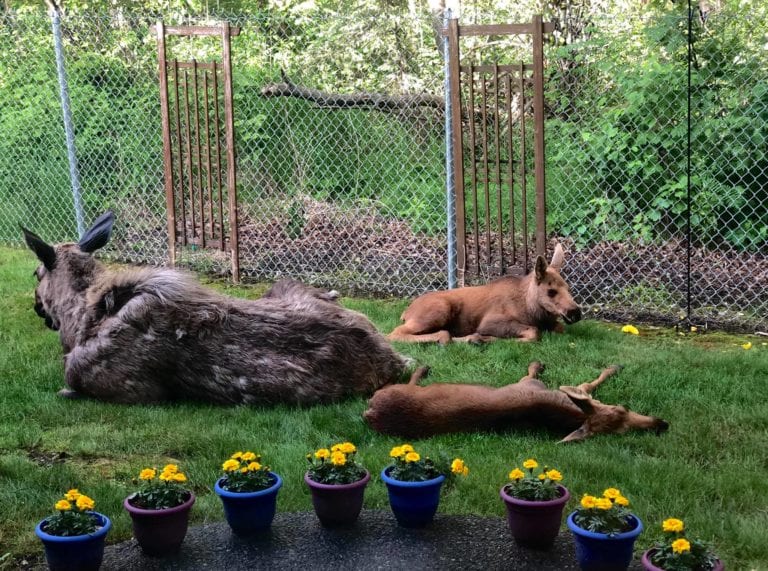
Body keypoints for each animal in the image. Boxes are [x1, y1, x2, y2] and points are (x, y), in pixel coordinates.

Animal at [363, 362, 669, 442]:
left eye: (622, 431)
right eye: (622, 408)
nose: (662, 423)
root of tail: (371, 412)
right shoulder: (530, 383)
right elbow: (589, 384)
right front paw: (614, 367)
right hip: (397, 390)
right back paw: (423, 368)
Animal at [388, 244, 582, 344]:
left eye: (568, 288)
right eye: (551, 291)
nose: (576, 313)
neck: (534, 311)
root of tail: (405, 312)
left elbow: (559, 327)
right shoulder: (489, 322)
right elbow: (534, 333)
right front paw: (487, 339)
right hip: (439, 310)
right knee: (395, 334)